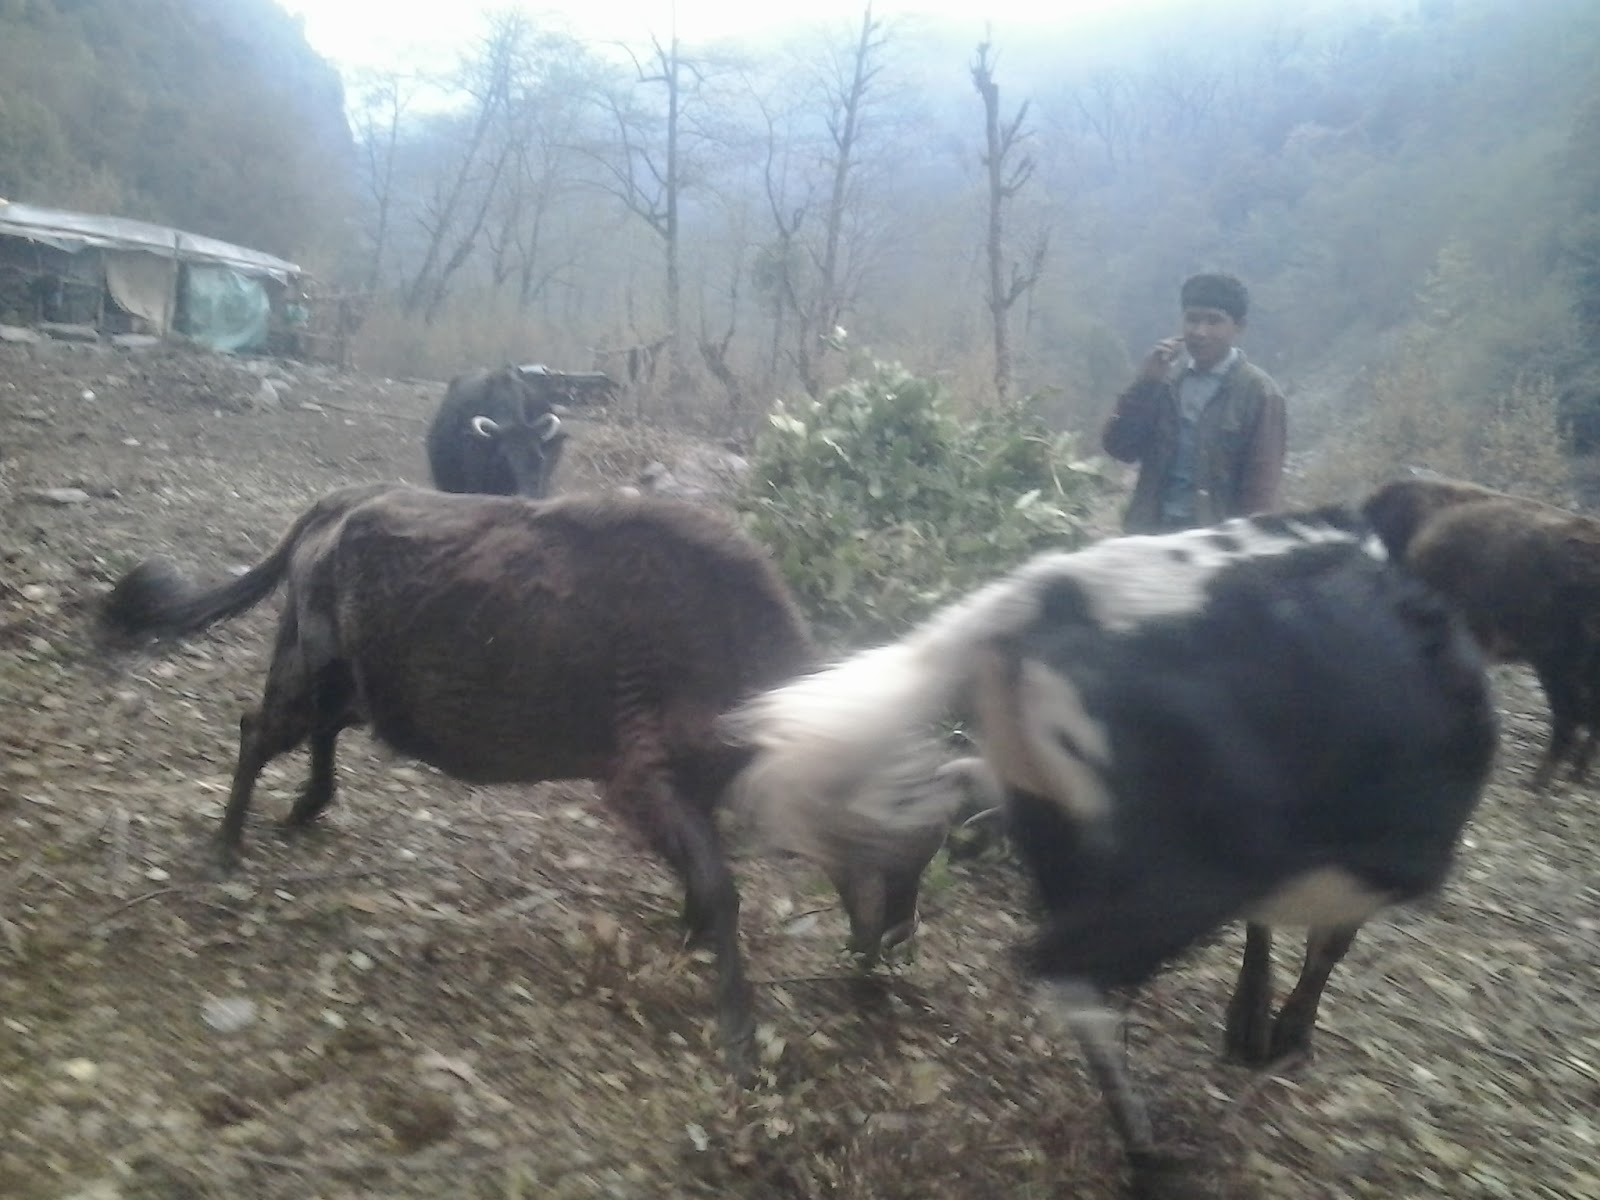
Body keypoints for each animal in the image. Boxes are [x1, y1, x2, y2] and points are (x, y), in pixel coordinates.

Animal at [725, 509, 1497, 1191]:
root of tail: (1040, 596)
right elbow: (1324, 943)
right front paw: (1285, 1035)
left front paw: (1254, 1026)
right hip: (1180, 879)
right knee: (1067, 967)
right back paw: (1153, 1157)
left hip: (1054, 816)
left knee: (932, 809)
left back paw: (877, 939)